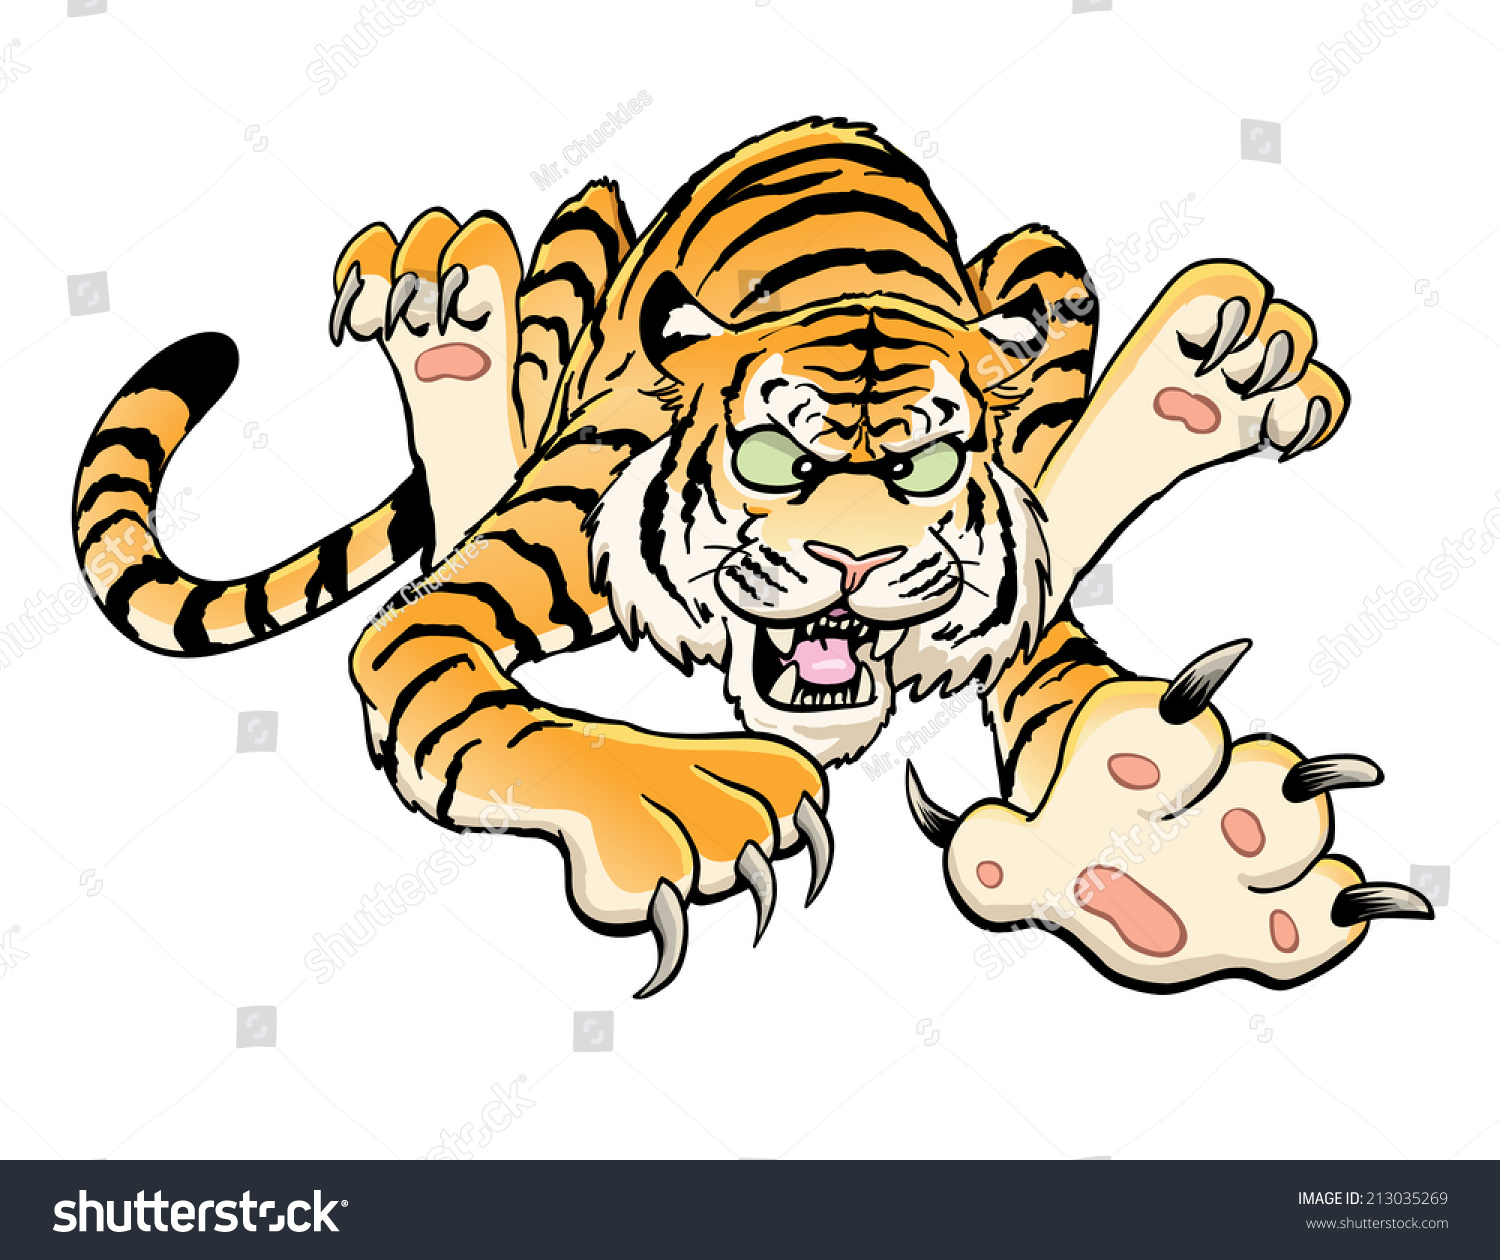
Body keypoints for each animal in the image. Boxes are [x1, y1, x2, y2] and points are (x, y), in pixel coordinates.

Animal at [70, 118, 1432, 998]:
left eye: (925, 469)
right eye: (778, 459)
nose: (850, 559)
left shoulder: (1015, 557)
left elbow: (1056, 649)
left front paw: (1162, 849)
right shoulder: (464, 599)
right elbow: (469, 691)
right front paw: (686, 805)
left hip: (1045, 267)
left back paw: (1215, 373)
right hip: (586, 234)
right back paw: (446, 312)